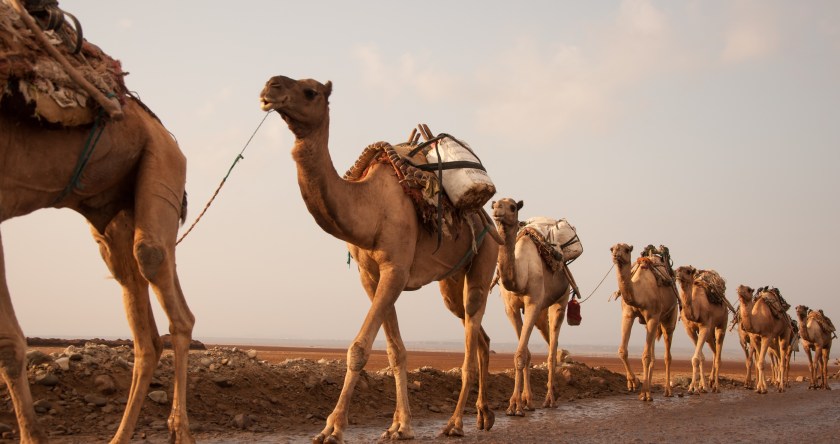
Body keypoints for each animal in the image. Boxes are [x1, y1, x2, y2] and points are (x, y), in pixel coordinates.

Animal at [0, 64, 194, 444]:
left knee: (159, 274)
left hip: (162, 163)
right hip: (115, 214)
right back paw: (121, 436)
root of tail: (171, 137)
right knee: (146, 331)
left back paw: (180, 431)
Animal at [260, 76, 499, 443]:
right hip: (450, 282)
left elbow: (359, 348)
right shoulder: (370, 276)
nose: (270, 87)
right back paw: (484, 416)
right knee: (480, 338)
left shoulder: (395, 270)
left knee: (471, 342)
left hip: (483, 262)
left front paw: (332, 427)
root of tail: (490, 220)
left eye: (310, 91)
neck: (369, 206)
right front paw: (400, 426)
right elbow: (395, 351)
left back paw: (455, 423)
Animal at [491, 198, 571, 415]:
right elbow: (525, 354)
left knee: (552, 349)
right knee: (550, 342)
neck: (520, 276)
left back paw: (550, 400)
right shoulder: (511, 308)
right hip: (543, 311)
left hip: (561, 300)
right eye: (494, 204)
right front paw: (525, 402)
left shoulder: (533, 303)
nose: (497, 211)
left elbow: (520, 354)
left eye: (512, 207)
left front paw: (515, 406)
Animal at [610, 243, 679, 401]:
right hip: (652, 322)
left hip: (670, 316)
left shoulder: (653, 316)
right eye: (612, 248)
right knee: (653, 353)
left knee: (667, 354)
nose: (616, 255)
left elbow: (645, 356)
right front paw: (633, 383)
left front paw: (644, 393)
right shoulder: (628, 315)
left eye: (626, 249)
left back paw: (667, 391)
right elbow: (622, 351)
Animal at [674, 266, 729, 394]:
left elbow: (696, 358)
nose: (678, 274)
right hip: (710, 333)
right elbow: (700, 357)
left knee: (718, 355)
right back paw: (711, 382)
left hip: (722, 322)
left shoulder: (705, 326)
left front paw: (694, 388)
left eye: (688, 271)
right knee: (714, 352)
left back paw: (716, 387)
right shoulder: (689, 329)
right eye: (677, 269)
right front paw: (698, 387)